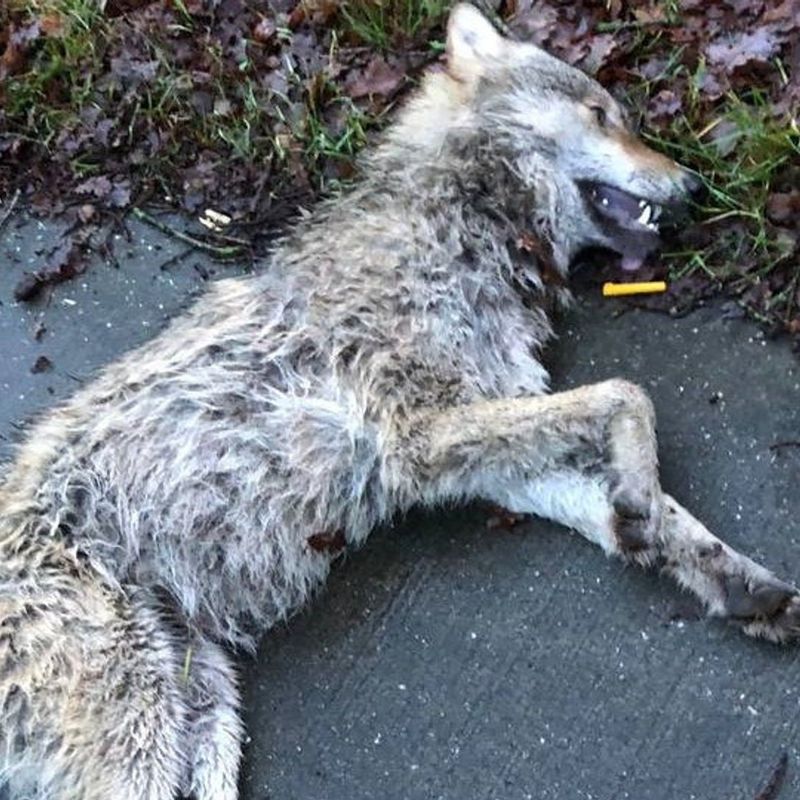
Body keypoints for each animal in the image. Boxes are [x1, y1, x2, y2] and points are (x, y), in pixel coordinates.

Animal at [0, 5, 797, 798]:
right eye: (602, 116)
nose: (695, 184)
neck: (465, 221)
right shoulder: (424, 434)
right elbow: (631, 396)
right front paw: (641, 492)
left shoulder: (473, 459)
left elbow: (647, 503)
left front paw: (726, 573)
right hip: (148, 740)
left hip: (204, 721)